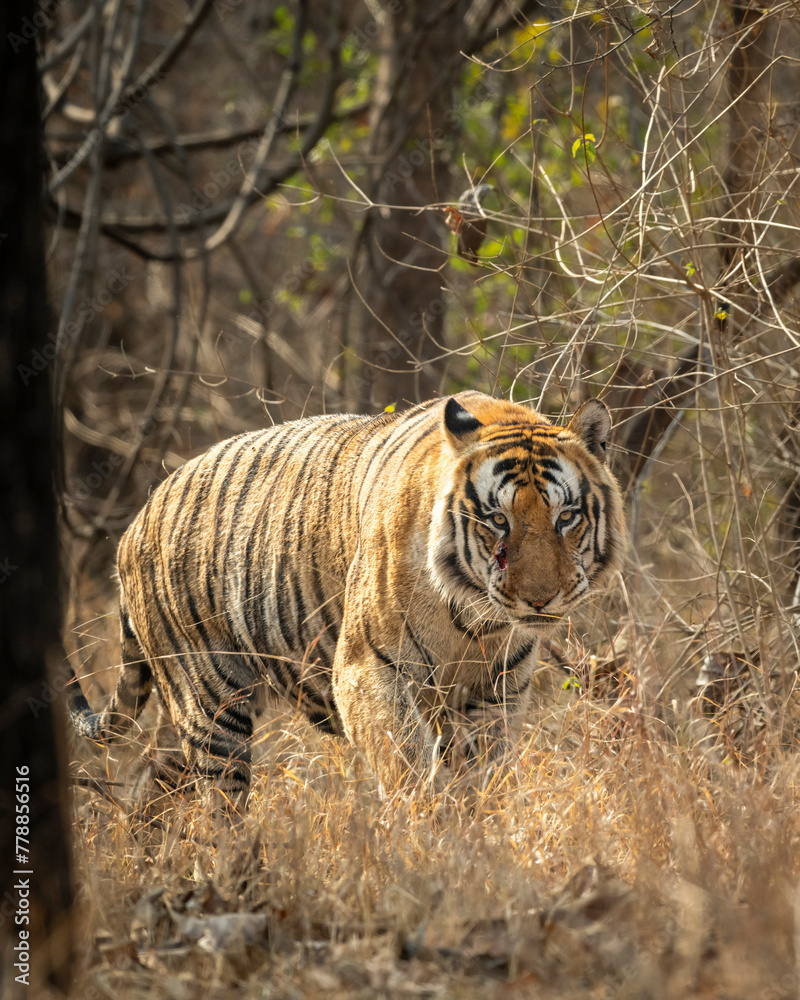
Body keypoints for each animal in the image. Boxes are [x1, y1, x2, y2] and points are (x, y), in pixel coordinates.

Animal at [69, 391, 624, 807]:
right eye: (497, 520)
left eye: (566, 517)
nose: (539, 600)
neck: (476, 621)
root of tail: (134, 524)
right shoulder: (366, 670)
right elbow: (408, 761)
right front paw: (428, 833)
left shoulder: (495, 692)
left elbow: (482, 779)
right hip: (210, 704)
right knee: (219, 806)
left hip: (181, 718)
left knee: (151, 788)